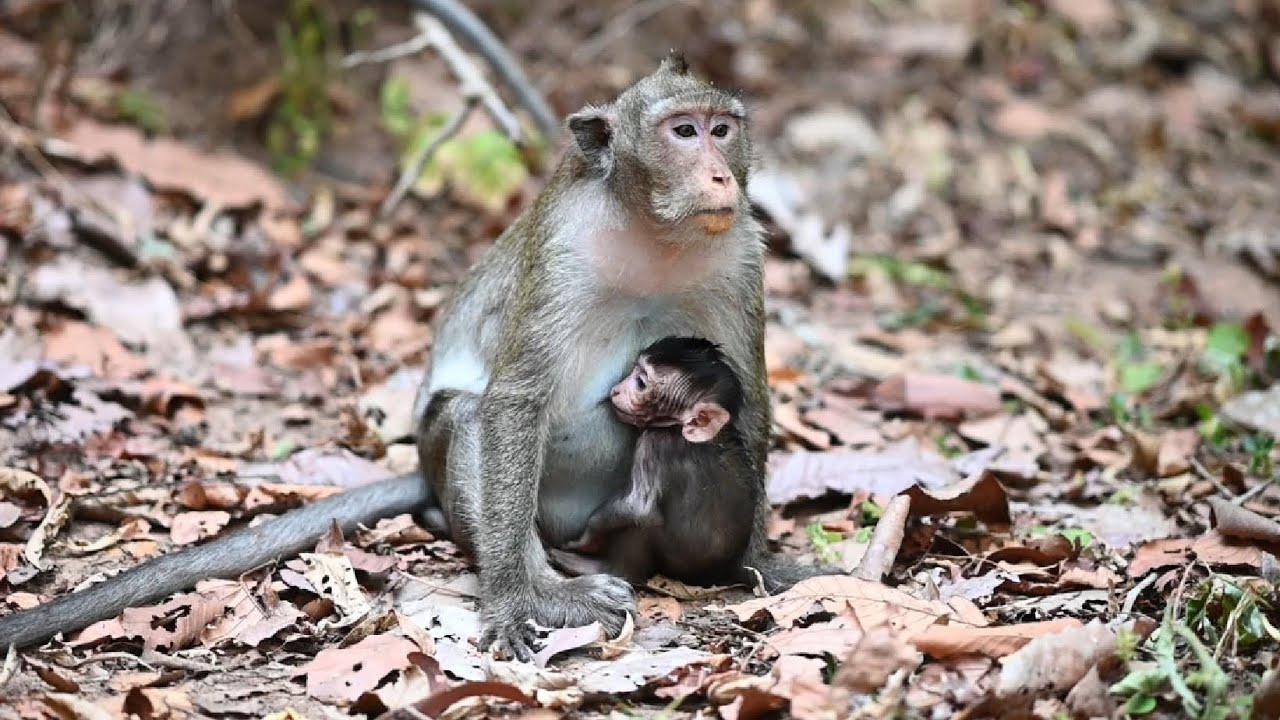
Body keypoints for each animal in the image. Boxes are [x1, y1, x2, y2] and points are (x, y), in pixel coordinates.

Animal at [547, 336, 758, 588]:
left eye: (640, 382)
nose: (615, 390)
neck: (677, 428)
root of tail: (723, 572)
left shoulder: (654, 443)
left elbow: (638, 508)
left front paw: (587, 539)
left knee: (645, 523)